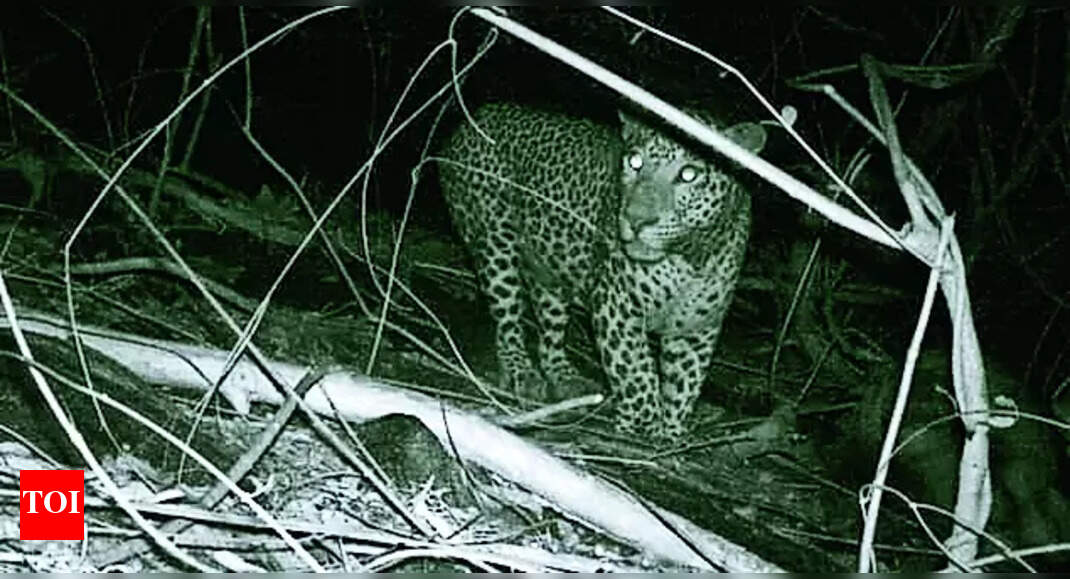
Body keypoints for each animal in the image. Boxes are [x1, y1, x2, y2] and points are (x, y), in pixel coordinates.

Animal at [437, 102, 766, 439]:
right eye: (634, 161)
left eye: (689, 174)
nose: (635, 220)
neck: (690, 256)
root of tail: (480, 112)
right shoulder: (618, 306)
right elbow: (638, 376)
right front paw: (642, 431)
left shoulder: (696, 327)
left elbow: (684, 385)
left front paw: (671, 435)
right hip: (495, 243)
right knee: (507, 321)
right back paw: (521, 373)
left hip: (550, 271)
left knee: (550, 331)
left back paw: (566, 378)